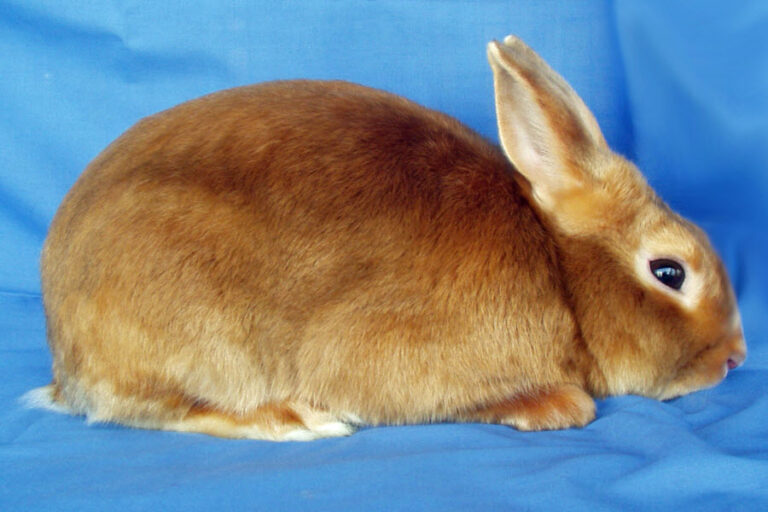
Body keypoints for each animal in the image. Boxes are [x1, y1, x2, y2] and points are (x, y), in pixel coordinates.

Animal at [28, 35, 746, 441]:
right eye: (670, 272)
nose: (736, 358)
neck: (558, 268)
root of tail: (66, 360)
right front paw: (553, 404)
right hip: (203, 336)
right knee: (160, 408)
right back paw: (297, 422)